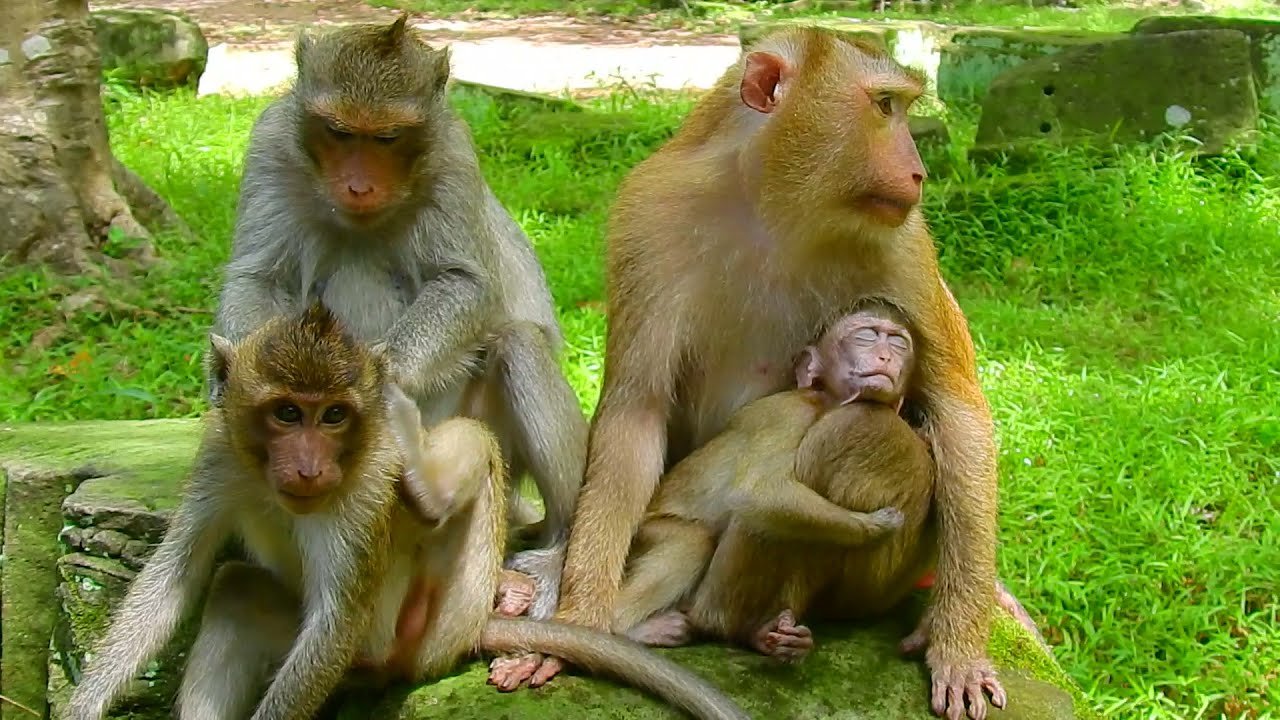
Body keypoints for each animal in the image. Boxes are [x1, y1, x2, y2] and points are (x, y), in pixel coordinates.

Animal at [66, 303, 749, 720]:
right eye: (287, 413)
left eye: (333, 415)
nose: (310, 467)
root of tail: (468, 629)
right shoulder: (219, 456)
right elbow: (174, 576)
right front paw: (83, 706)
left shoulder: (363, 491)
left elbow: (334, 622)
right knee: (235, 587)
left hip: (420, 631)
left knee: (474, 449)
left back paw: (429, 489)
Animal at [208, 13, 587, 620]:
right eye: (340, 132)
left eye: (387, 138)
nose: (359, 185)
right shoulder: (269, 143)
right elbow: (258, 275)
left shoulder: (454, 154)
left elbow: (464, 281)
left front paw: (385, 379)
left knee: (518, 344)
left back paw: (556, 545)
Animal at [523, 26, 1008, 720]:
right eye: (885, 106)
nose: (919, 170)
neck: (777, 204)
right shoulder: (648, 215)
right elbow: (636, 414)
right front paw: (579, 620)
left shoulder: (906, 240)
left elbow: (954, 408)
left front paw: (957, 641)